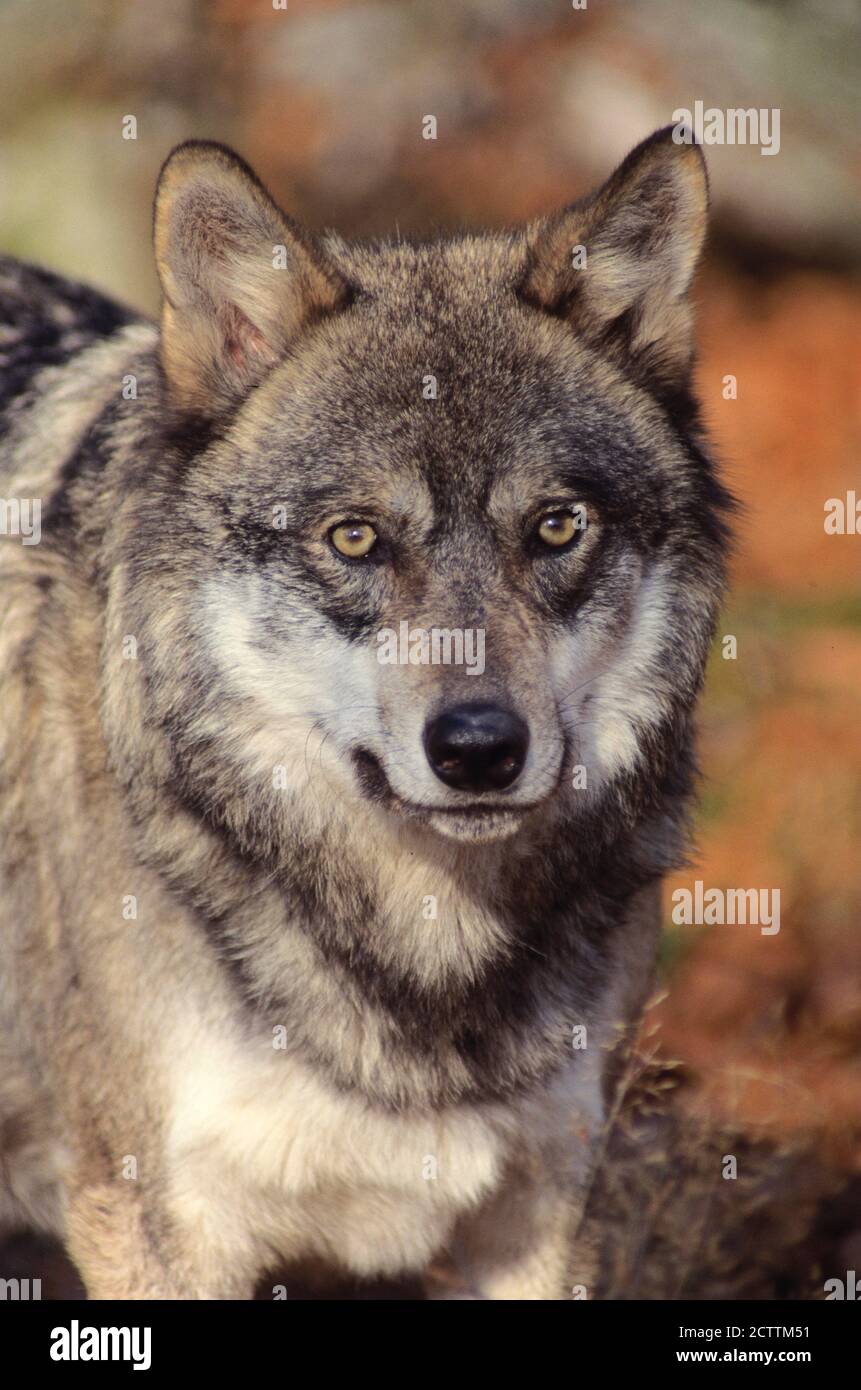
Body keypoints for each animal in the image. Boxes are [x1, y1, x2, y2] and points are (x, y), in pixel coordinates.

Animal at [0, 127, 731, 1299]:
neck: (425, 961)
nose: (479, 749)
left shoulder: (538, 1221)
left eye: (556, 525)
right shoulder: (154, 1231)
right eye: (354, 538)